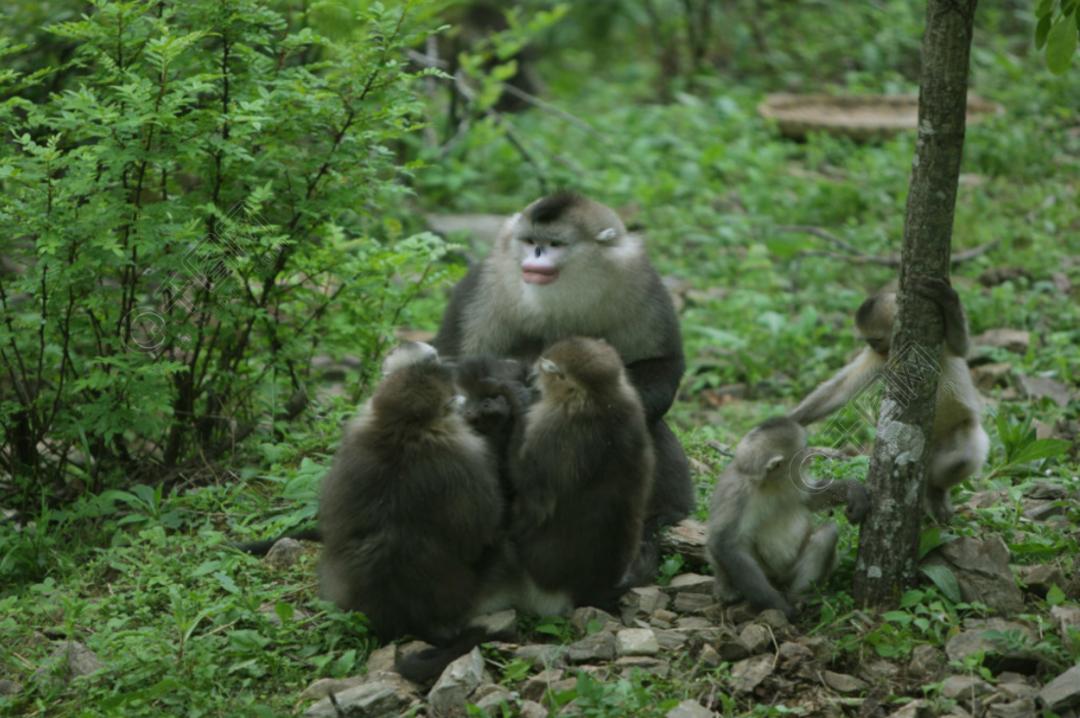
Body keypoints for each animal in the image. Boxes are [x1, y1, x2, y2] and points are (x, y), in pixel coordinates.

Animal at [433, 192, 691, 585]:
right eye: (530, 241)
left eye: (554, 244)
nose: (536, 256)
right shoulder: (488, 280)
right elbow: (452, 364)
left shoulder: (639, 279)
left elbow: (661, 363)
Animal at [507, 337, 655, 614]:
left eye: (544, 368)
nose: (531, 376)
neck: (599, 400)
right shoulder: (633, 410)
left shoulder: (549, 430)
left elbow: (533, 495)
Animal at [706, 417, 870, 619]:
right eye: (803, 450)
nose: (810, 455)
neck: (769, 483)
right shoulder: (737, 492)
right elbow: (724, 543)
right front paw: (779, 607)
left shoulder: (792, 479)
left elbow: (812, 499)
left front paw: (853, 490)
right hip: (767, 573)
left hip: (790, 572)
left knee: (828, 533)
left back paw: (799, 596)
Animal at [787, 277, 989, 523]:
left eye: (874, 339)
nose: (872, 347)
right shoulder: (881, 357)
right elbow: (841, 390)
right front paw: (791, 420)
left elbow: (962, 348)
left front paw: (948, 299)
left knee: (963, 455)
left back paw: (935, 491)